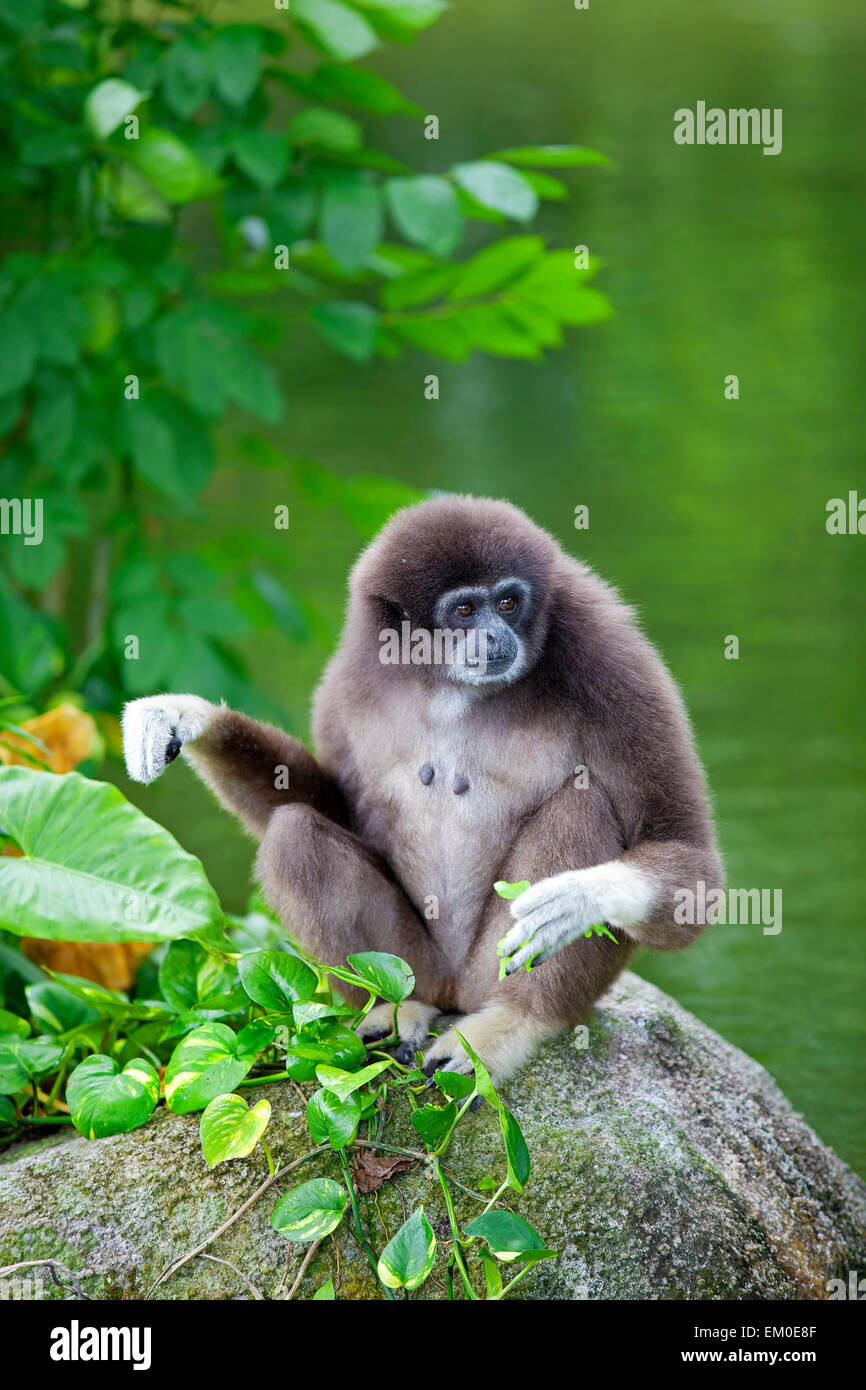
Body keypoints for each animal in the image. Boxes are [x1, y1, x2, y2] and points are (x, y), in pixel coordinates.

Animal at [122, 495, 723, 1084]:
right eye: (464, 611)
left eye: (509, 602)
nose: (494, 635)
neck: (450, 686)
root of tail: (454, 989)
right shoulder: (349, 677)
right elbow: (322, 802)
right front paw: (184, 717)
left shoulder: (611, 659)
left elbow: (689, 858)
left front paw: (583, 897)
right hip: (410, 963)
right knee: (295, 835)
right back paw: (393, 1009)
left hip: (490, 966)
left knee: (583, 806)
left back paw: (512, 1021)